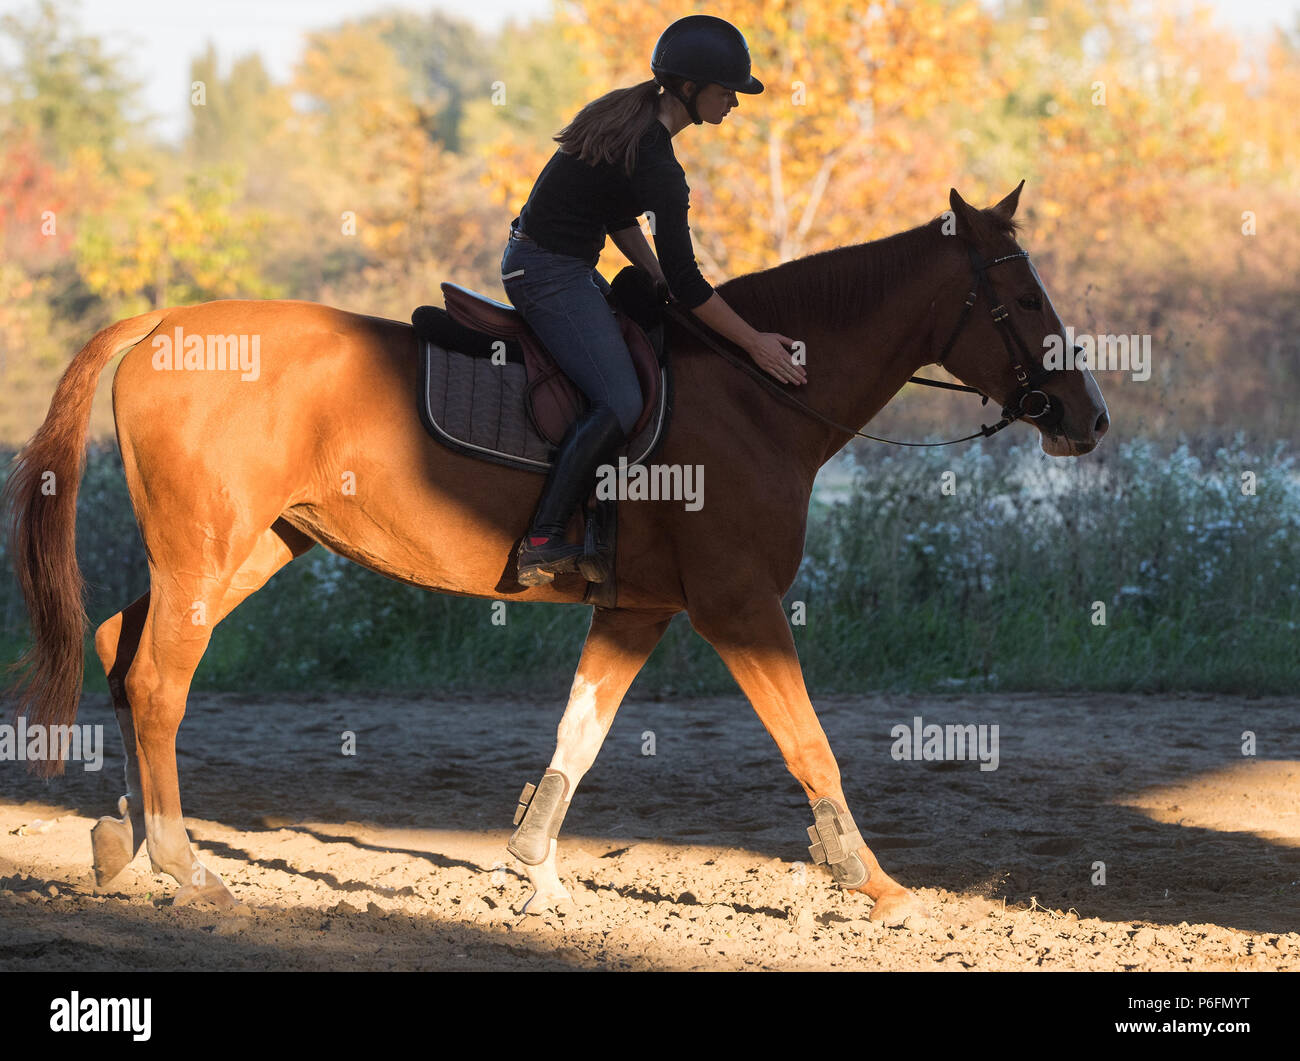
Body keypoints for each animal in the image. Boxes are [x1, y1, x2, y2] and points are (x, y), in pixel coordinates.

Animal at [3, 183, 1107, 925]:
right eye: (1025, 298)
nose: (1085, 417)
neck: (758, 389)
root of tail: (164, 325)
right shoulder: (738, 602)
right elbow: (809, 741)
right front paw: (868, 879)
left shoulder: (638, 607)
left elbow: (581, 730)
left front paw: (532, 864)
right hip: (210, 551)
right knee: (157, 680)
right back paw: (184, 863)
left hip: (252, 547)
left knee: (121, 645)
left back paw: (128, 838)